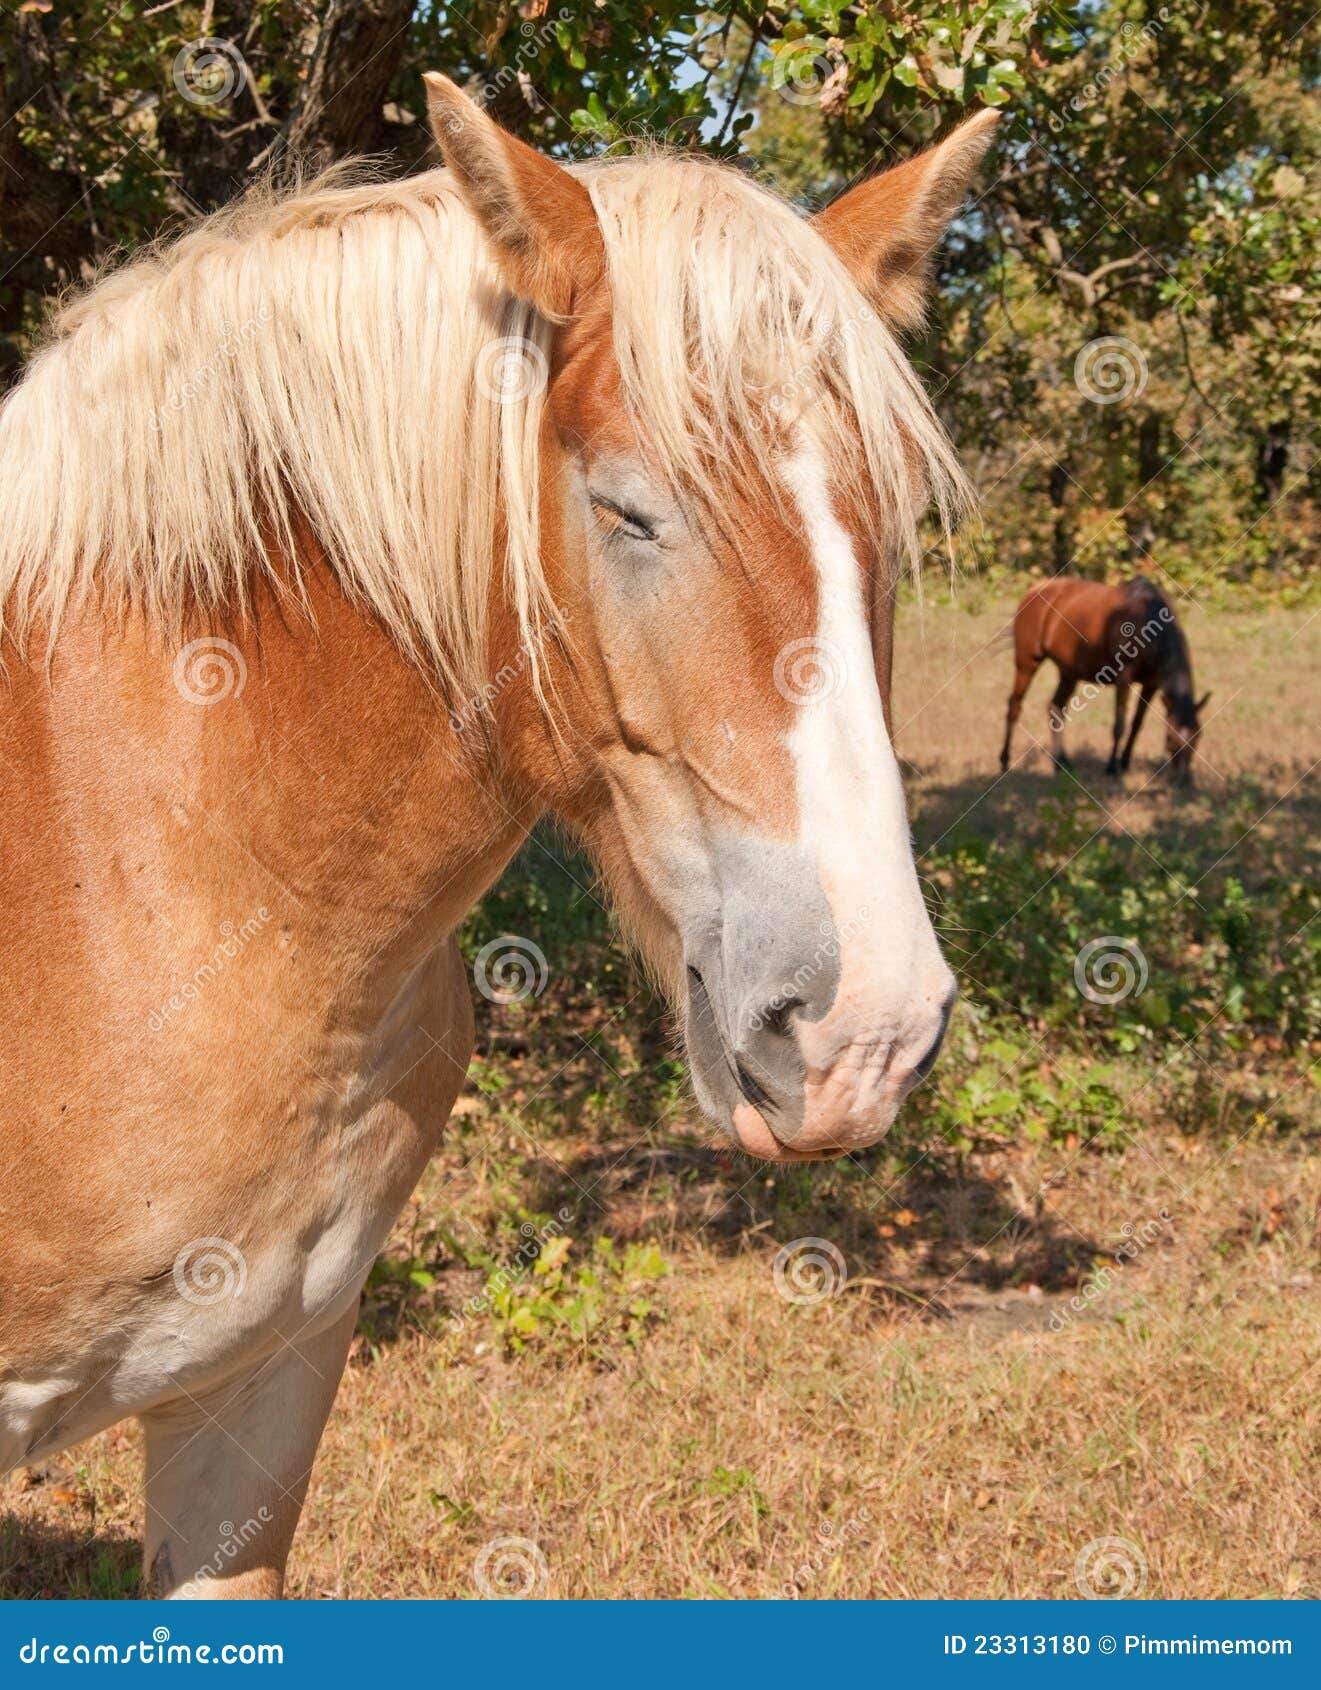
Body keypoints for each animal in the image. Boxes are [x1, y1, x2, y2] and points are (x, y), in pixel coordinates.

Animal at [999, 575, 1209, 785]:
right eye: (1170, 738)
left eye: (1198, 737)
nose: (1184, 780)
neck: (1147, 620)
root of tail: (1034, 589)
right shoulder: (1124, 679)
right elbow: (1119, 725)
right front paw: (1112, 767)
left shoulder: (1151, 685)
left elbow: (1136, 724)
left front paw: (1125, 762)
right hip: (1027, 662)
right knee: (1015, 705)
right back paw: (1005, 760)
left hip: (1069, 673)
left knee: (1055, 707)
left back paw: (1061, 763)